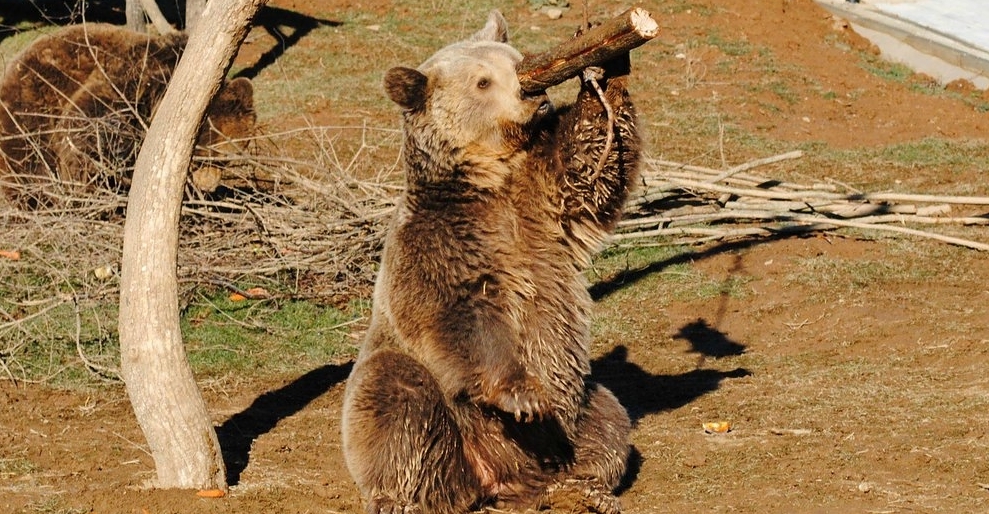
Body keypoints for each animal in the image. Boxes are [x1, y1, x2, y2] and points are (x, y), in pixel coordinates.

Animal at [0, 23, 256, 208]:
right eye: (209, 153)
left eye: (227, 160)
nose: (209, 186)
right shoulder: (129, 80)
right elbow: (87, 132)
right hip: (32, 101)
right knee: (28, 158)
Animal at [341, 10, 640, 514]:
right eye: (483, 81)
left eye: (516, 62)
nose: (532, 93)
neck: (490, 177)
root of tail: (510, 478)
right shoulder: (441, 240)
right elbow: (461, 314)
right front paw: (522, 395)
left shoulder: (541, 198)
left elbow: (590, 166)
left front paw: (604, 56)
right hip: (452, 425)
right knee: (397, 402)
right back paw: (402, 498)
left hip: (579, 405)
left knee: (606, 421)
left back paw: (583, 488)